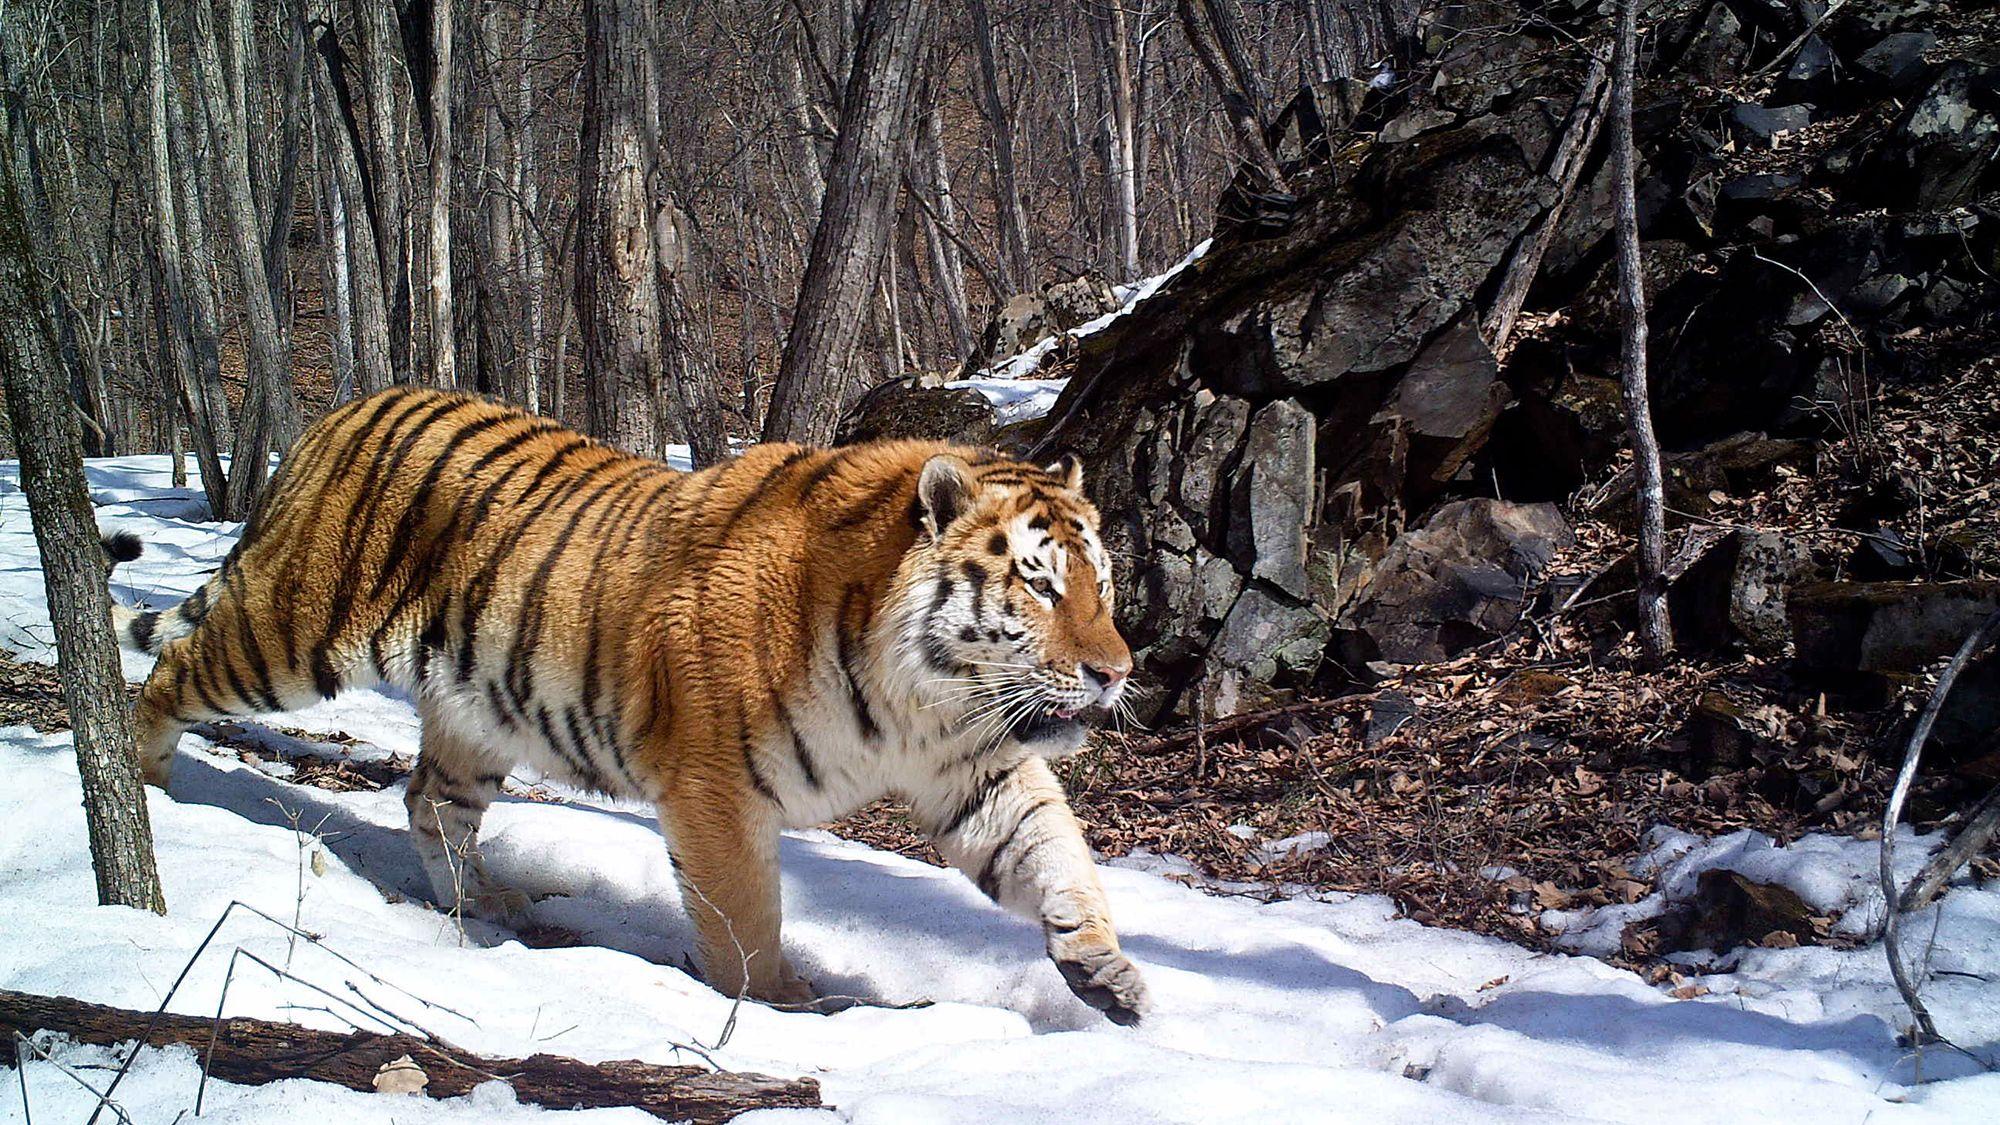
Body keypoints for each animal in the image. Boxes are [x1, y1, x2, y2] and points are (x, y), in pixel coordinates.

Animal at [106, 386, 1149, 1024]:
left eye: (1101, 584)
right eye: (1041, 586)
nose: (1116, 670)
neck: (920, 696)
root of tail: (336, 413)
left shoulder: (975, 765)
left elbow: (1055, 855)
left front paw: (1104, 967)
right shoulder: (715, 784)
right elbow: (744, 916)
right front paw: (781, 1005)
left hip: (476, 710)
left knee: (430, 800)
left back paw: (484, 906)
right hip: (291, 631)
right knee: (170, 673)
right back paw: (143, 784)